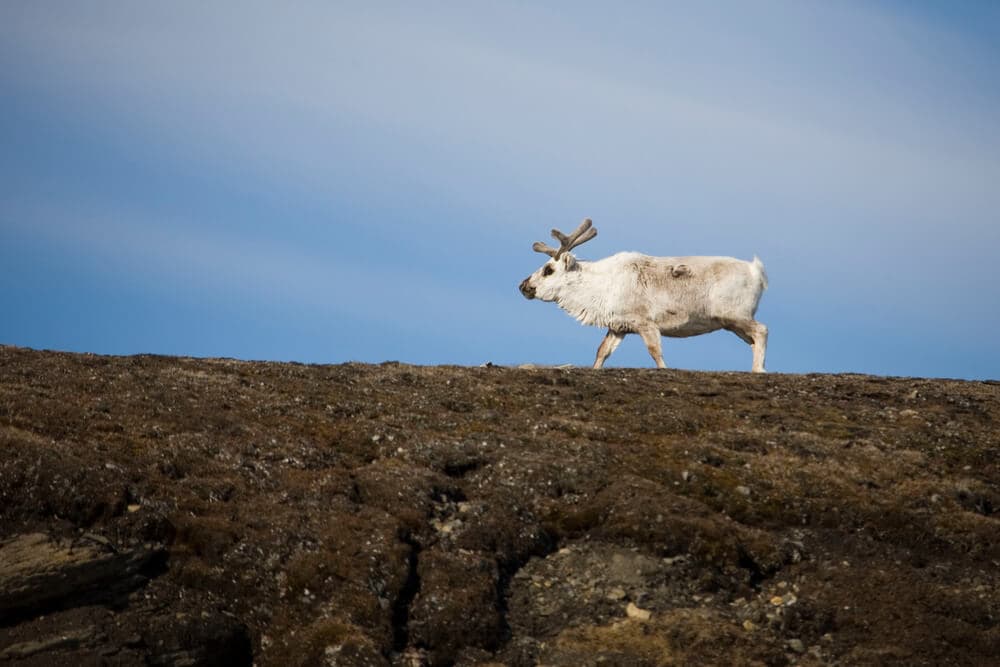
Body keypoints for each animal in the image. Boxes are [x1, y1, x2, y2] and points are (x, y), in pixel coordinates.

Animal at [518, 218, 768, 372]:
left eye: (548, 270)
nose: (523, 285)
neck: (599, 287)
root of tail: (757, 271)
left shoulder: (645, 323)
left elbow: (655, 352)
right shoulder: (618, 326)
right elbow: (601, 352)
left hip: (735, 315)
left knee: (762, 330)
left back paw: (758, 370)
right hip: (732, 323)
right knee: (754, 339)